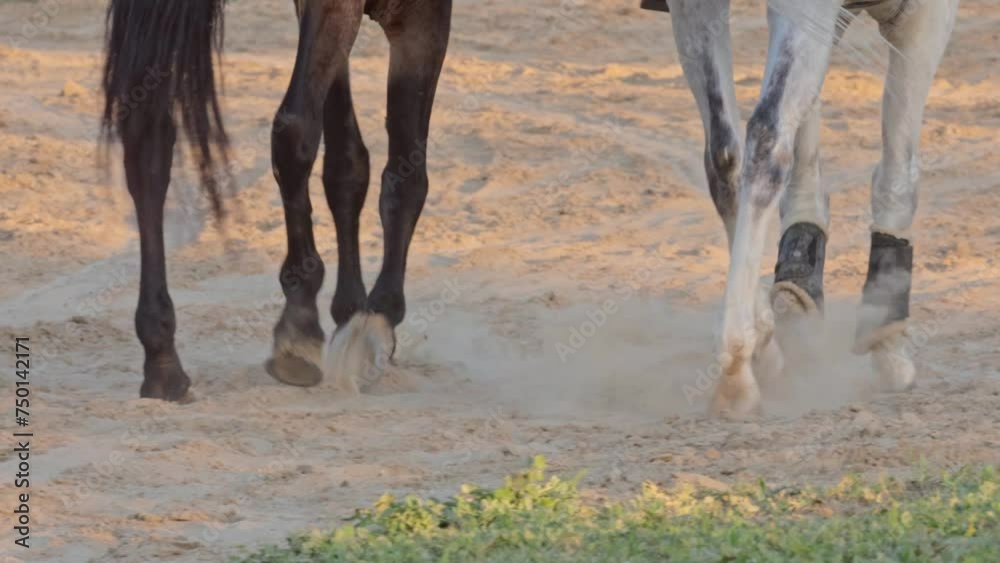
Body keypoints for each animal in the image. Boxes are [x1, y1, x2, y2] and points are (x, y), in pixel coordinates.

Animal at [100, 0, 452, 401]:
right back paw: (300, 323)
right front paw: (375, 317)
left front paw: (350, 309)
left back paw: (162, 361)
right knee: (293, 130)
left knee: (148, 137)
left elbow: (346, 167)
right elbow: (404, 175)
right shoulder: (415, 14)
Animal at [651, 0, 960, 416]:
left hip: (696, 12)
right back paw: (737, 370)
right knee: (768, 136)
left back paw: (758, 348)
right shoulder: (923, 17)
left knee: (725, 151)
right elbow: (899, 166)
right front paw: (887, 335)